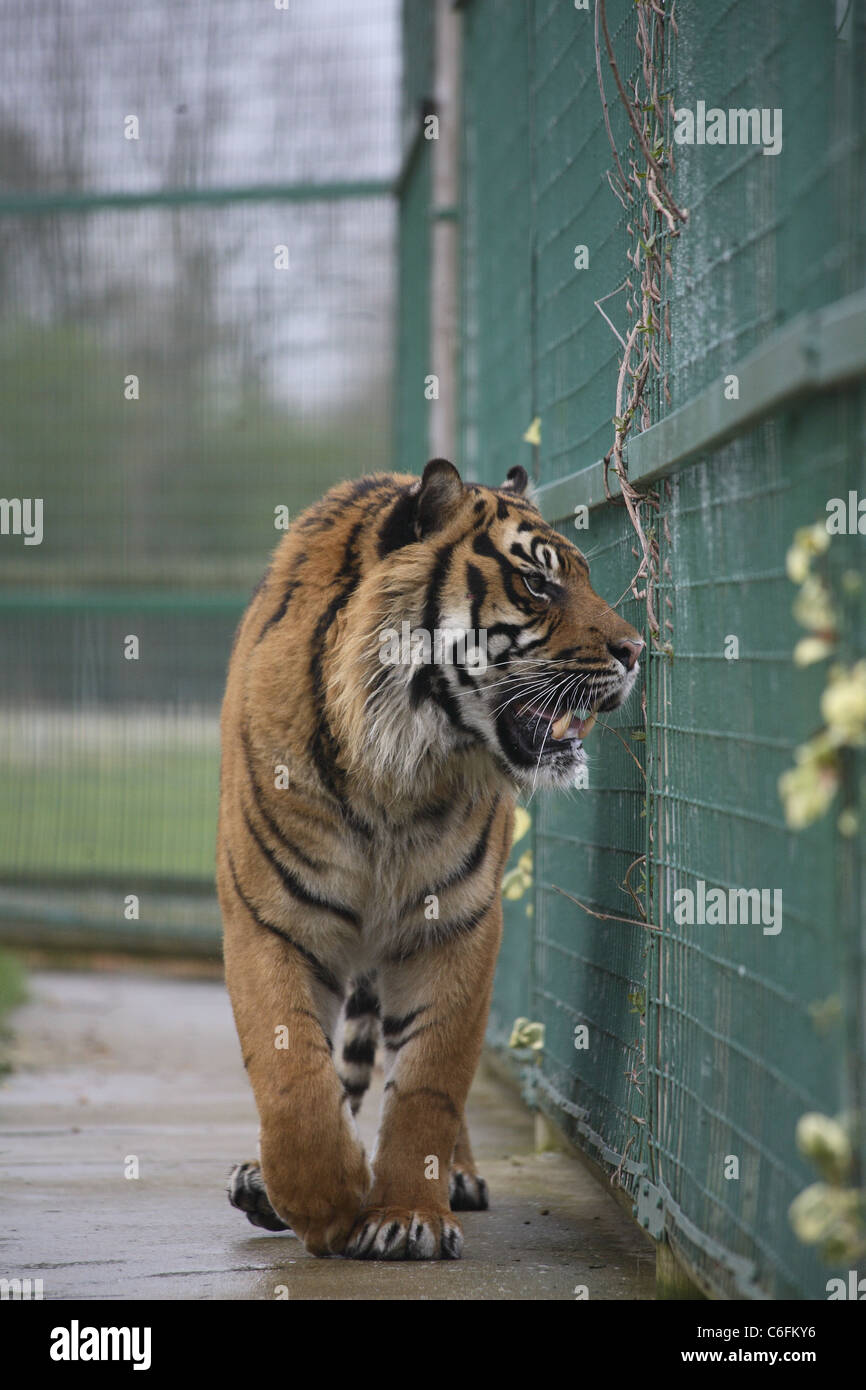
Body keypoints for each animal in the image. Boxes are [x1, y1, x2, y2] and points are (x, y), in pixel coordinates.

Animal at [217, 457, 643, 1260]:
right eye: (537, 583)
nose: (639, 651)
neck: (396, 770)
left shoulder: (457, 925)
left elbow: (428, 1086)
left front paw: (405, 1215)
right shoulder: (269, 919)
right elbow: (291, 1077)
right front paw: (323, 1198)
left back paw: (456, 1177)